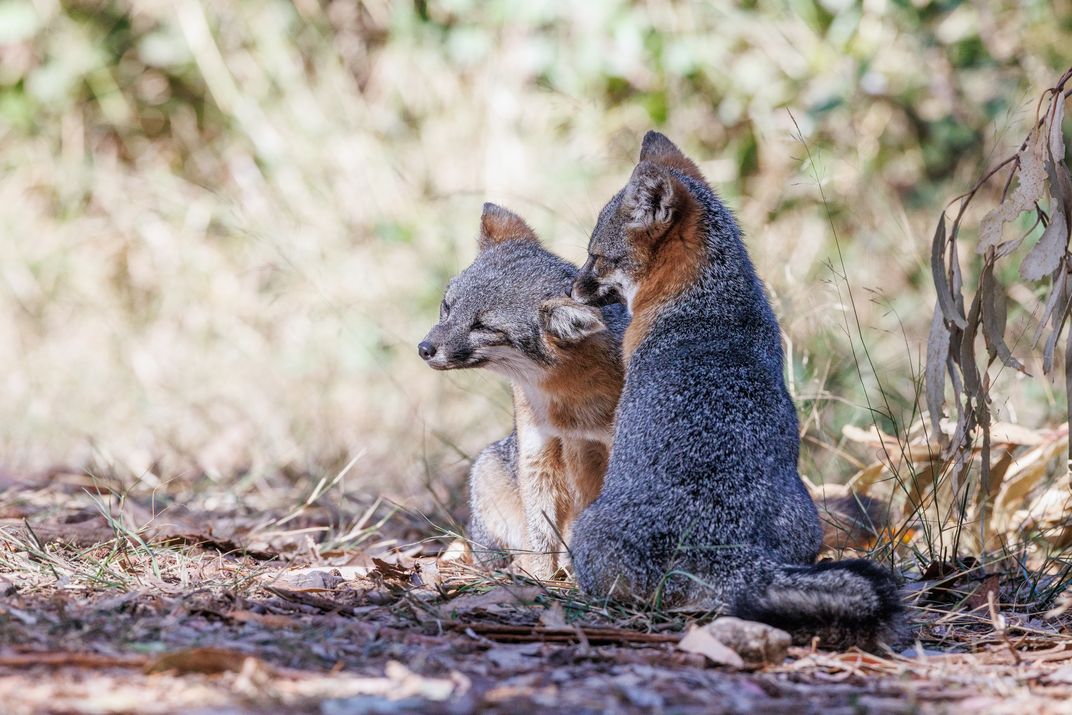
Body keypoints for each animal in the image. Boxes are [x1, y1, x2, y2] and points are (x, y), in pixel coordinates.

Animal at [419, 203, 627, 579]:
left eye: (483, 326)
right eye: (447, 306)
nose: (424, 348)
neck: (567, 404)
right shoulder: (537, 454)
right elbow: (541, 535)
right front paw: (542, 581)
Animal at [567, 131, 902, 649]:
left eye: (596, 257)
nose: (571, 286)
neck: (711, 297)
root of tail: (725, 546)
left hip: (585, 535)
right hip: (805, 517)